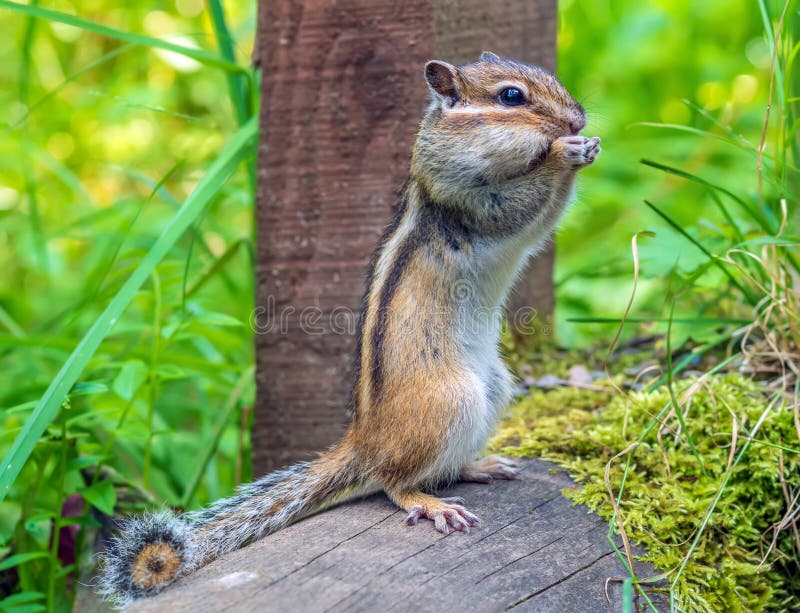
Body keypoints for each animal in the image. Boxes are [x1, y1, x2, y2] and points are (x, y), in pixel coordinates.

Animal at [98, 51, 600, 608]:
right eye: (512, 97)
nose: (578, 119)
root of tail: (363, 443)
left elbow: (541, 221)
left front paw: (584, 145)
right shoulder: (472, 200)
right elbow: (522, 206)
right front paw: (565, 153)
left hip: (493, 387)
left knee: (433, 468)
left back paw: (477, 466)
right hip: (451, 400)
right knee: (393, 482)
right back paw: (430, 503)